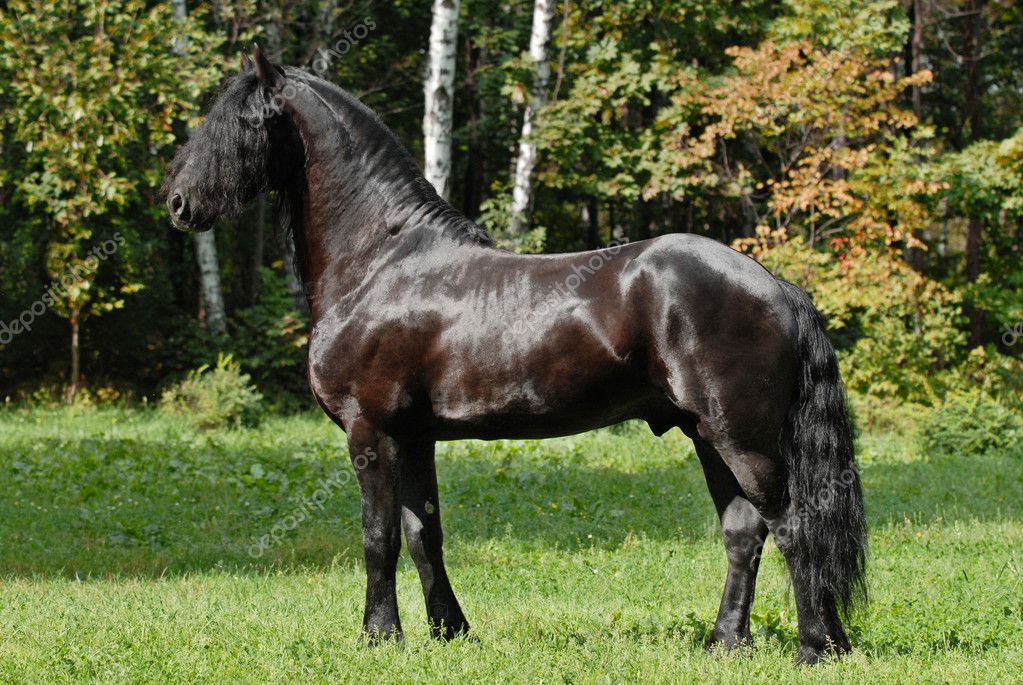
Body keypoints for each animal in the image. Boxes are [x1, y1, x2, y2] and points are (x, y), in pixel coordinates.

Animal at [163, 45, 867, 665]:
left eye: (240, 121)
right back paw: (729, 644)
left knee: (794, 528)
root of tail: (774, 284)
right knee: (744, 532)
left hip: (742, 438)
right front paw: (450, 632)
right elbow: (423, 535)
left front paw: (379, 637)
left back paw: (813, 648)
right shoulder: (415, 437)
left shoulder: (373, 431)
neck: (381, 262)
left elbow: (378, 536)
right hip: (708, 435)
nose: (177, 202)